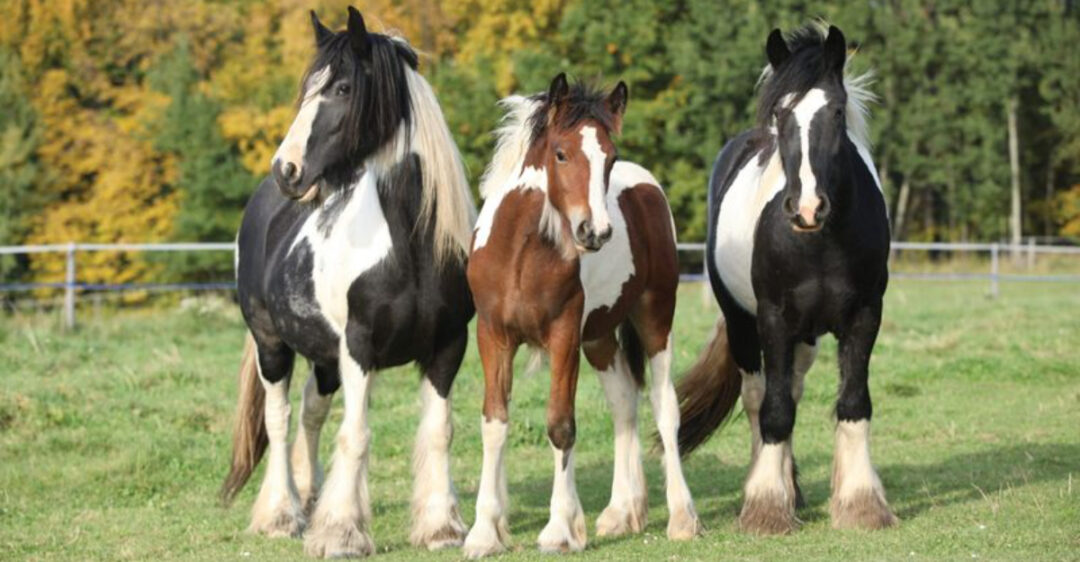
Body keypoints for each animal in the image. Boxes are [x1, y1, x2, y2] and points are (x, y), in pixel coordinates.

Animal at [219, 8, 476, 558]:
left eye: (341, 88)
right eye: (307, 87)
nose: (287, 169)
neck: (410, 247)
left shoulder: (449, 345)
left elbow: (439, 431)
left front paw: (441, 527)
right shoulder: (359, 348)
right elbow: (355, 435)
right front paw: (341, 533)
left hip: (323, 357)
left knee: (311, 413)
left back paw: (310, 497)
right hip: (272, 346)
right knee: (278, 418)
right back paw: (281, 514)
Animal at [462, 74, 702, 558]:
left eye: (609, 157)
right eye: (560, 153)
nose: (595, 232)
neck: (520, 254)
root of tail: (648, 186)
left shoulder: (563, 337)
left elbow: (561, 426)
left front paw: (561, 529)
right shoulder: (493, 337)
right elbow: (495, 422)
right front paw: (484, 533)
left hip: (655, 317)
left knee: (664, 406)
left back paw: (682, 517)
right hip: (600, 338)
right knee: (624, 403)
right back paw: (621, 513)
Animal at [674, 24, 897, 534]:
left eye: (836, 111)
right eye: (780, 113)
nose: (808, 208)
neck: (821, 244)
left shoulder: (864, 316)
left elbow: (854, 403)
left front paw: (860, 504)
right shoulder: (773, 319)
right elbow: (774, 412)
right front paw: (767, 509)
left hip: (806, 336)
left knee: (791, 387)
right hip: (745, 324)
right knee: (760, 397)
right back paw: (769, 488)